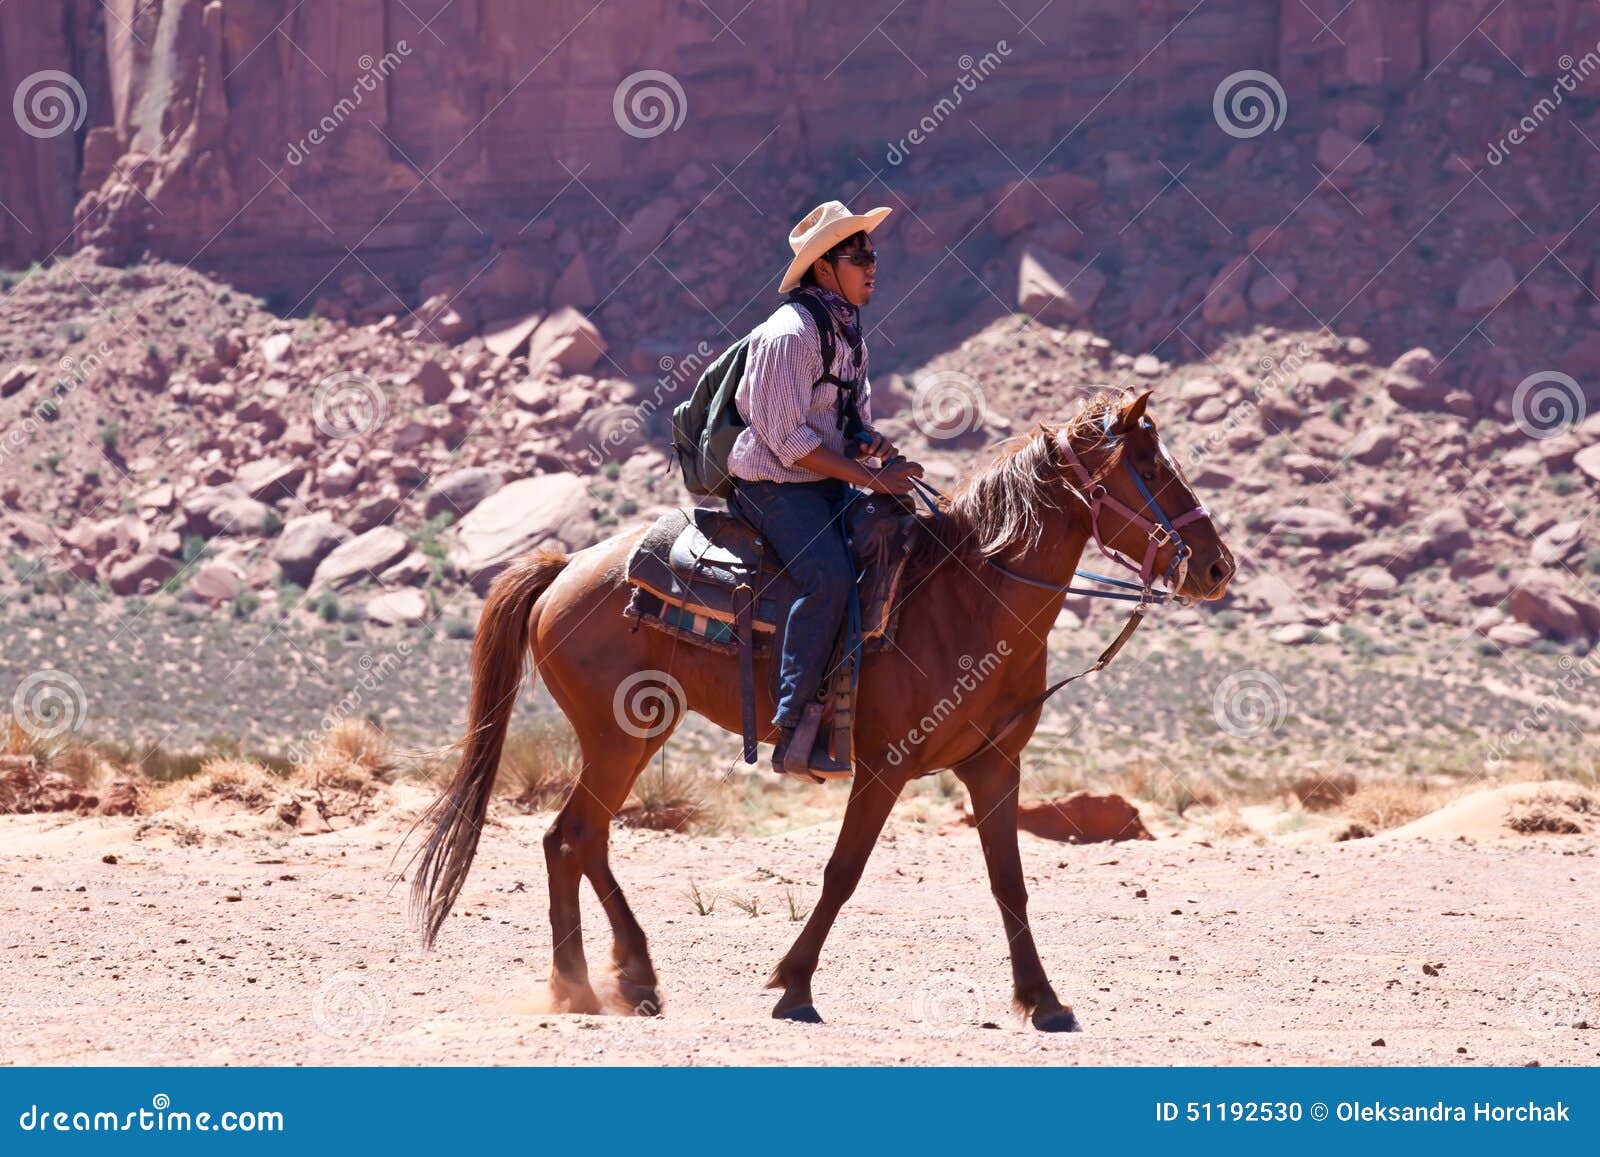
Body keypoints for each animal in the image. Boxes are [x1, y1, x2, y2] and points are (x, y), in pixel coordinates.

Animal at [409, 388, 1235, 1032]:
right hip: (620, 734)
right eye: (1149, 465)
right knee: (574, 837)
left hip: (636, 735)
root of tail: (566, 567)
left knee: (576, 839)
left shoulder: (996, 766)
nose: (1216, 565)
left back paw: (617, 979)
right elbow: (843, 872)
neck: (971, 599)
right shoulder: (883, 766)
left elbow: (1011, 882)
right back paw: (593, 985)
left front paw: (1044, 999)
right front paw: (794, 985)